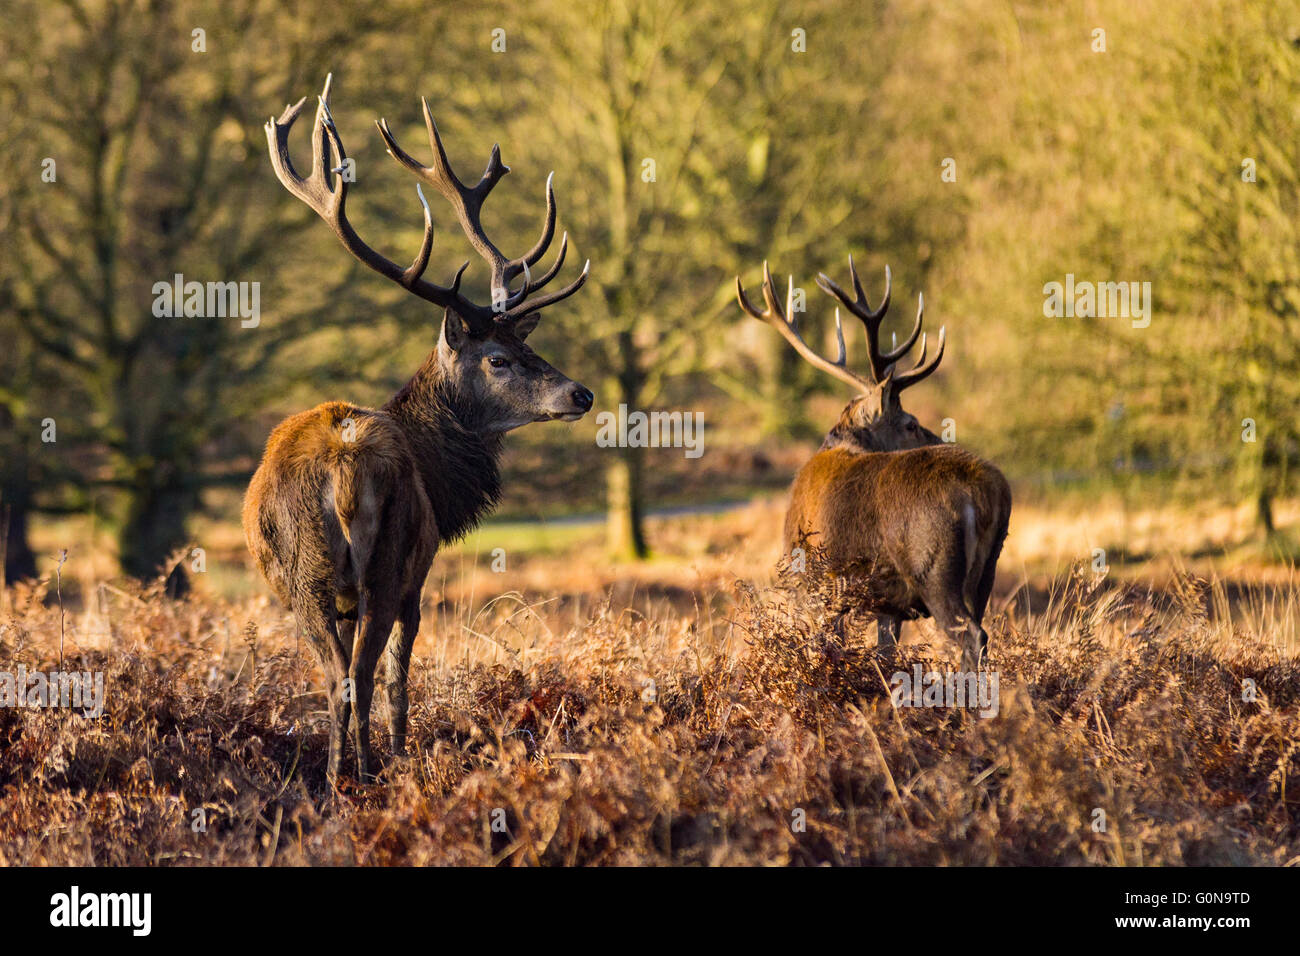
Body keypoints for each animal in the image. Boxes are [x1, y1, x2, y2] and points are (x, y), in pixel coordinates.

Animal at [244, 76, 594, 786]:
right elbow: (401, 678)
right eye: (499, 358)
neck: (439, 473)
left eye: (527, 345)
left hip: (305, 579)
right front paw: (404, 756)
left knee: (335, 676)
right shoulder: (420, 572)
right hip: (383, 564)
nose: (582, 393)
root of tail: (343, 470)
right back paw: (371, 773)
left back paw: (336, 780)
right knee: (360, 673)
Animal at [736, 256, 1011, 671]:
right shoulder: (887, 604)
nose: (938, 437)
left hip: (933, 569)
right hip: (987, 572)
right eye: (911, 424)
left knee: (971, 636)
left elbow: (828, 648)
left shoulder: (816, 584)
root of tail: (985, 494)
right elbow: (884, 653)